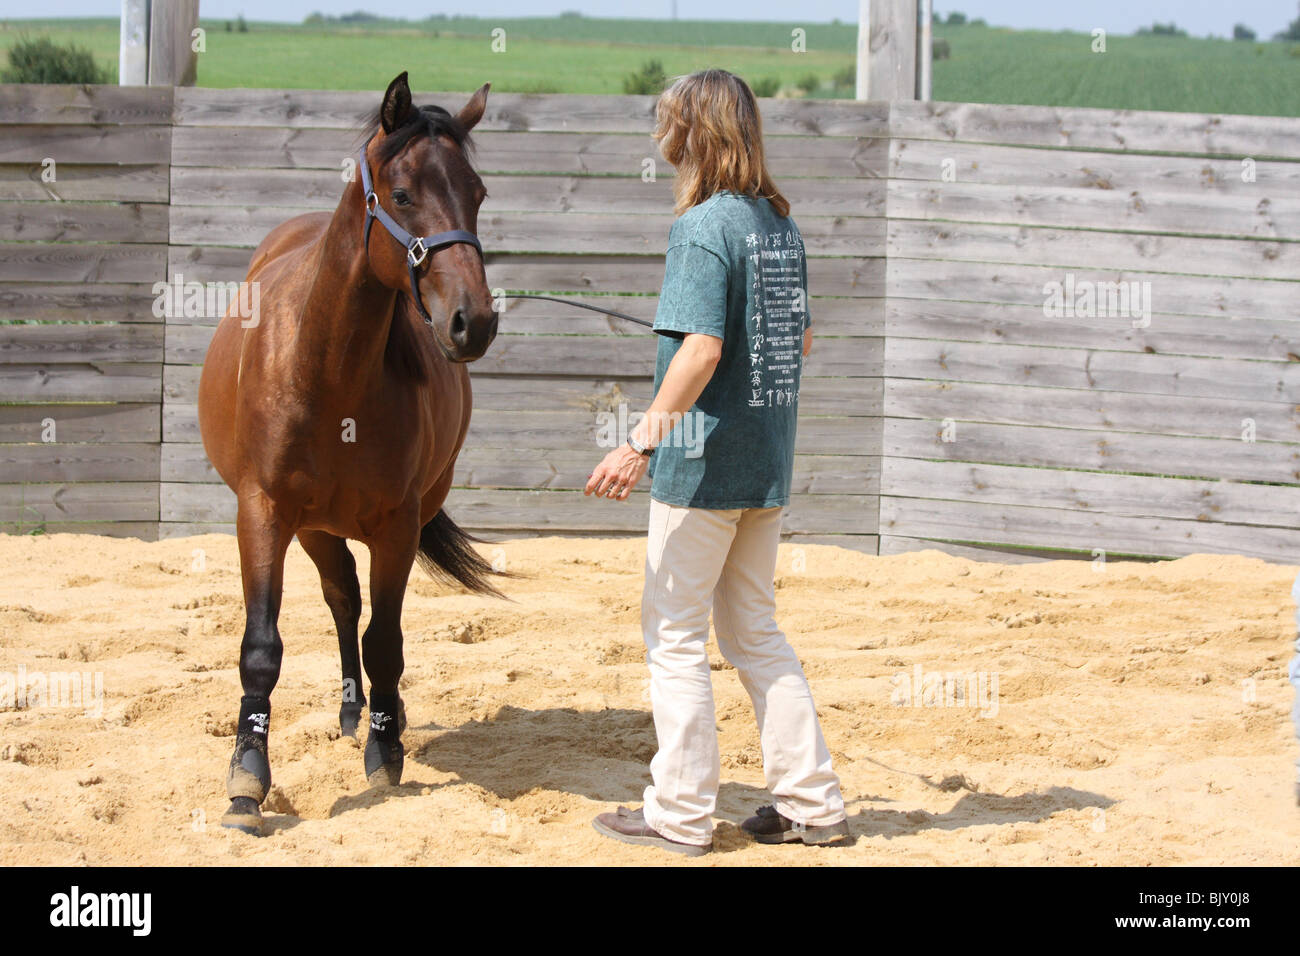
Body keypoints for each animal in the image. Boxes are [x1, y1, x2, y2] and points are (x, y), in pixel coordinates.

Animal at [197, 73, 505, 835]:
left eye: (477, 192)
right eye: (401, 194)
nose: (475, 321)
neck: (329, 372)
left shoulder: (398, 525)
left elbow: (385, 639)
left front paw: (386, 751)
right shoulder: (263, 515)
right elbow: (262, 648)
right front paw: (246, 781)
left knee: (361, 616)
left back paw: (379, 714)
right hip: (312, 527)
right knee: (341, 600)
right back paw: (347, 709)